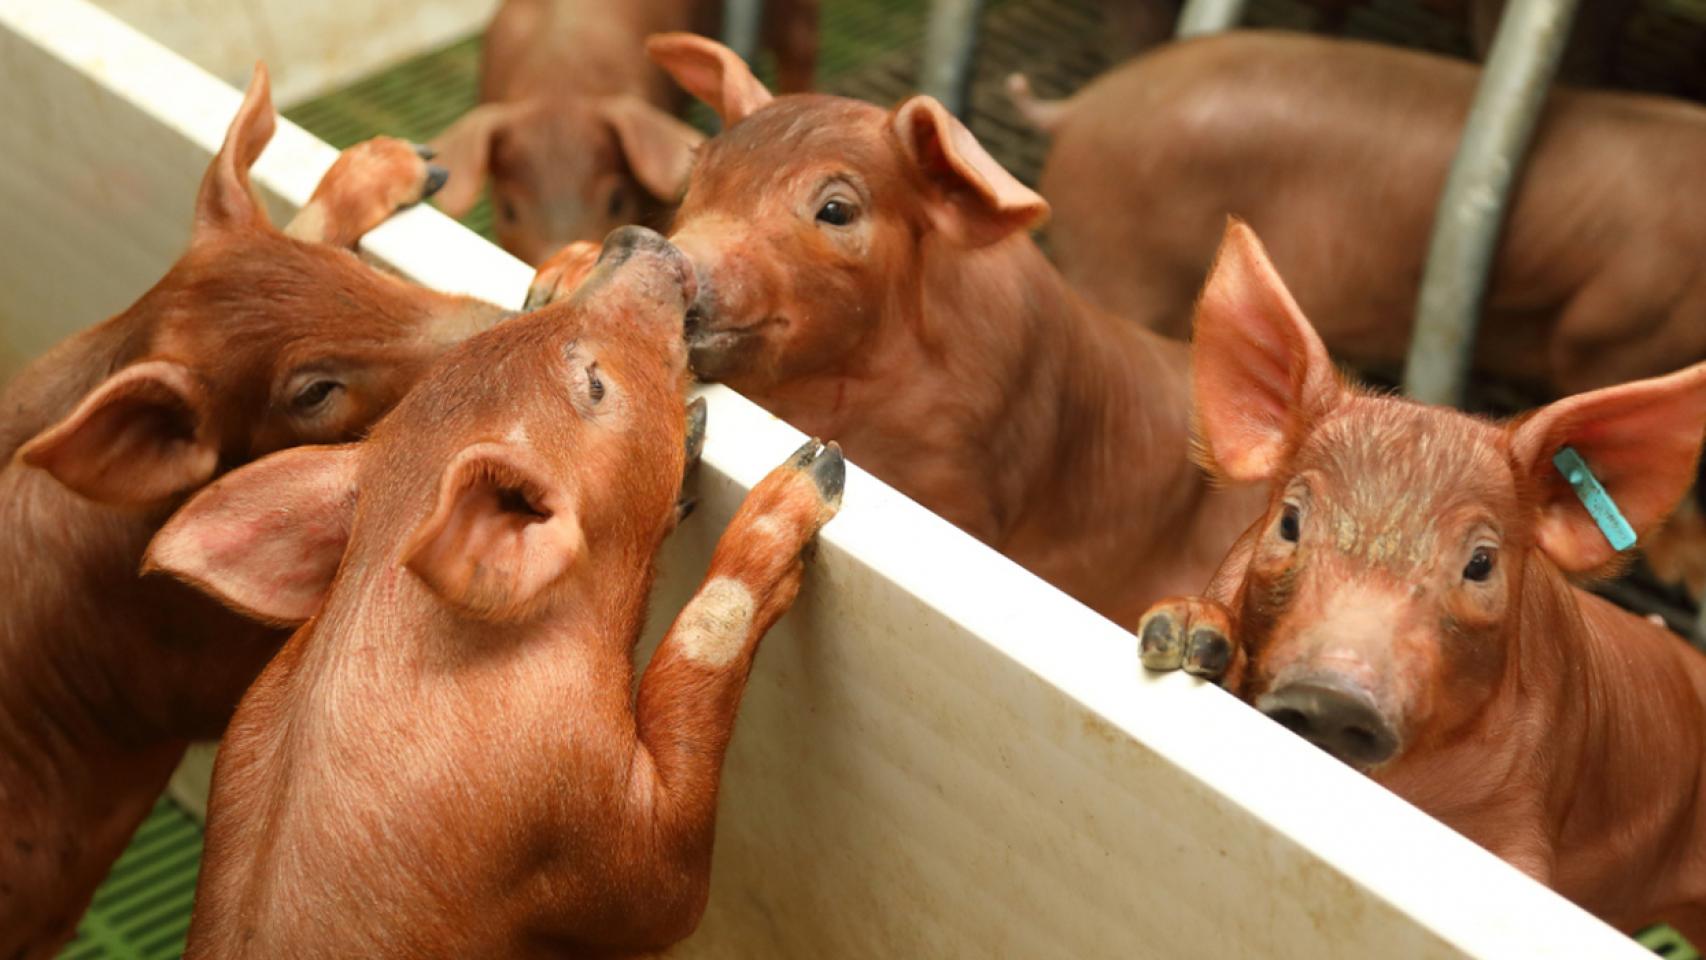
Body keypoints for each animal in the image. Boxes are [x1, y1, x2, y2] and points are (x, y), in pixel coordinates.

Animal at [143, 227, 844, 957]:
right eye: (595, 385)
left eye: (506, 331)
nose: (636, 237)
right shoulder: (587, 813)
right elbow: (675, 884)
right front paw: (813, 470)